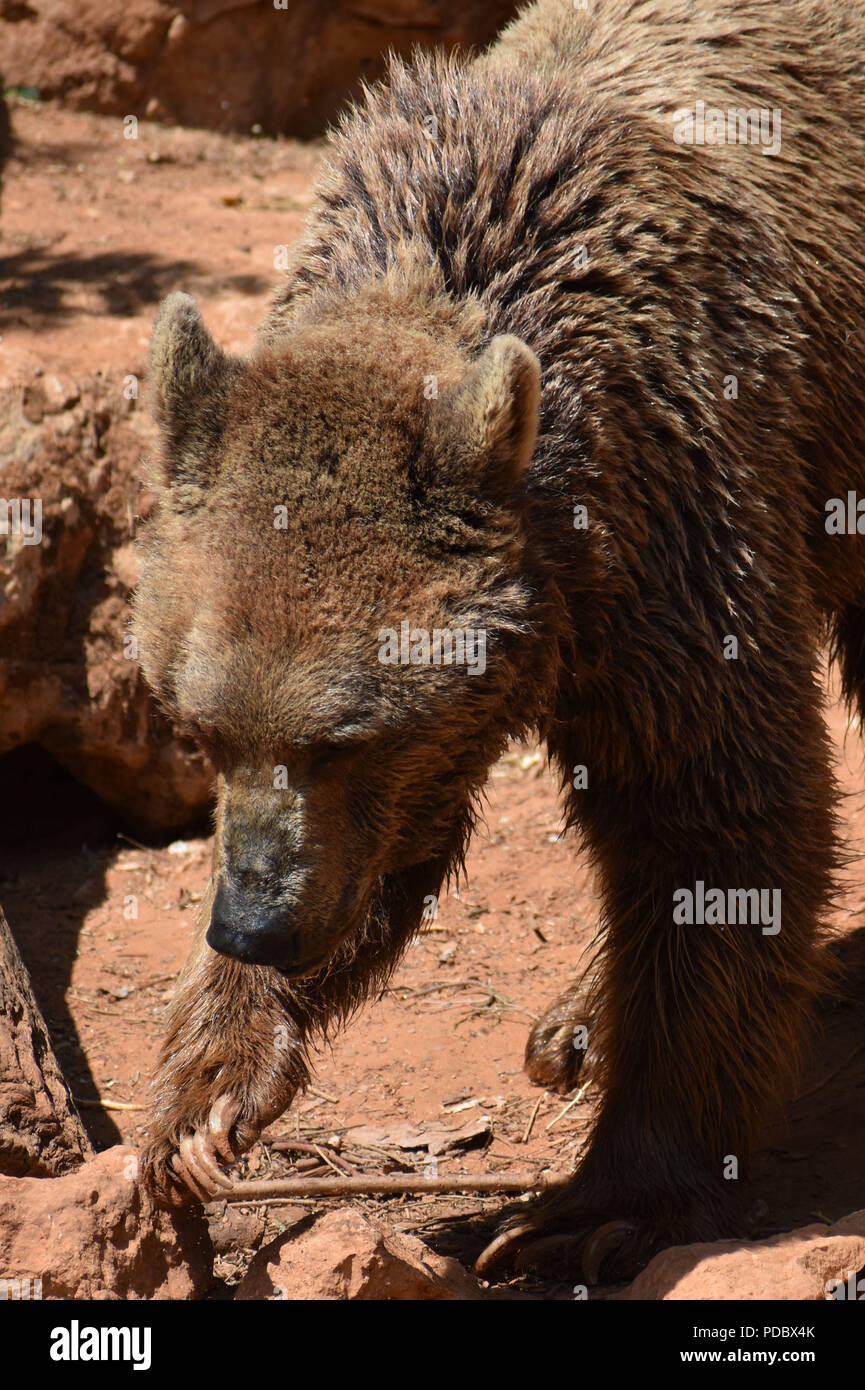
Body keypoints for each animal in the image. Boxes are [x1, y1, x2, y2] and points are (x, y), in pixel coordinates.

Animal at [133, 0, 865, 1282]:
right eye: (196, 724)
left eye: (343, 734)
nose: (256, 926)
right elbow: (395, 848)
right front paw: (204, 1092)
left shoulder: (679, 529)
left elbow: (716, 814)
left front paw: (595, 1204)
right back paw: (579, 1016)